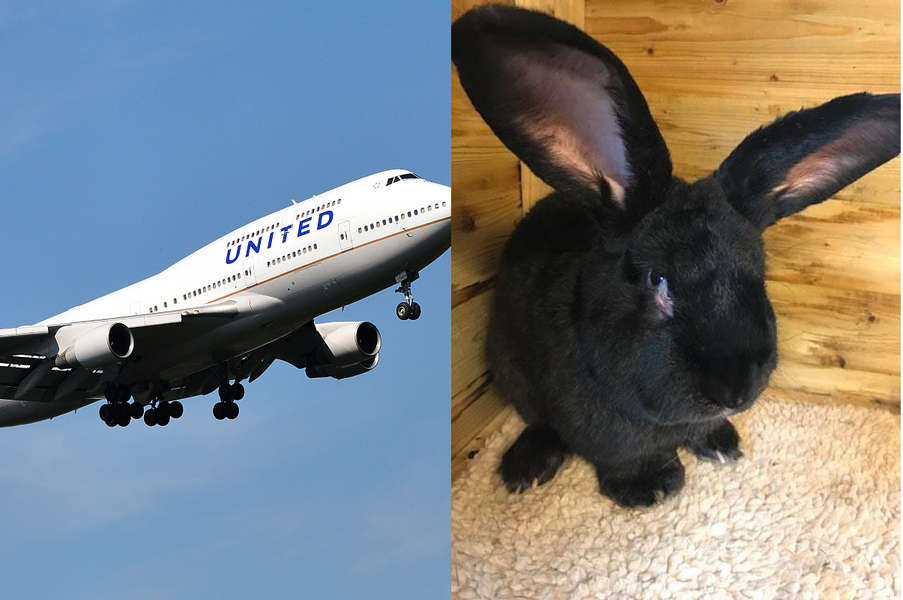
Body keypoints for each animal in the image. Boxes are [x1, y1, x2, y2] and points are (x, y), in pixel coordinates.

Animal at [452, 4, 900, 507]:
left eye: (759, 274)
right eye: (657, 281)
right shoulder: (600, 433)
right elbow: (621, 457)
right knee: (537, 420)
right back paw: (525, 468)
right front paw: (650, 488)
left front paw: (722, 445)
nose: (735, 390)